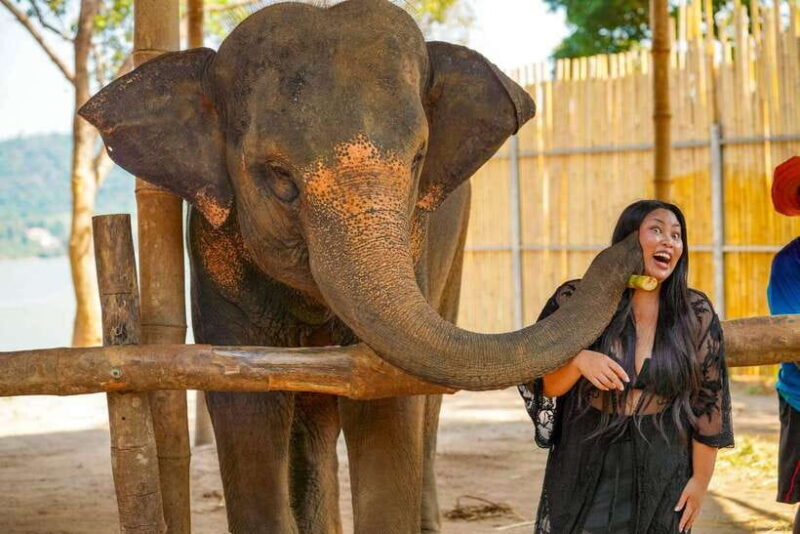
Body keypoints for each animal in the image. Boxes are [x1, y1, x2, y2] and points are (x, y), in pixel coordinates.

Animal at [79, 0, 643, 532]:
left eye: (417, 159)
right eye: (278, 176)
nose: (634, 244)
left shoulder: (419, 245)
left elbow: (388, 398)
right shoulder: (215, 261)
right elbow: (247, 409)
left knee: (422, 410)